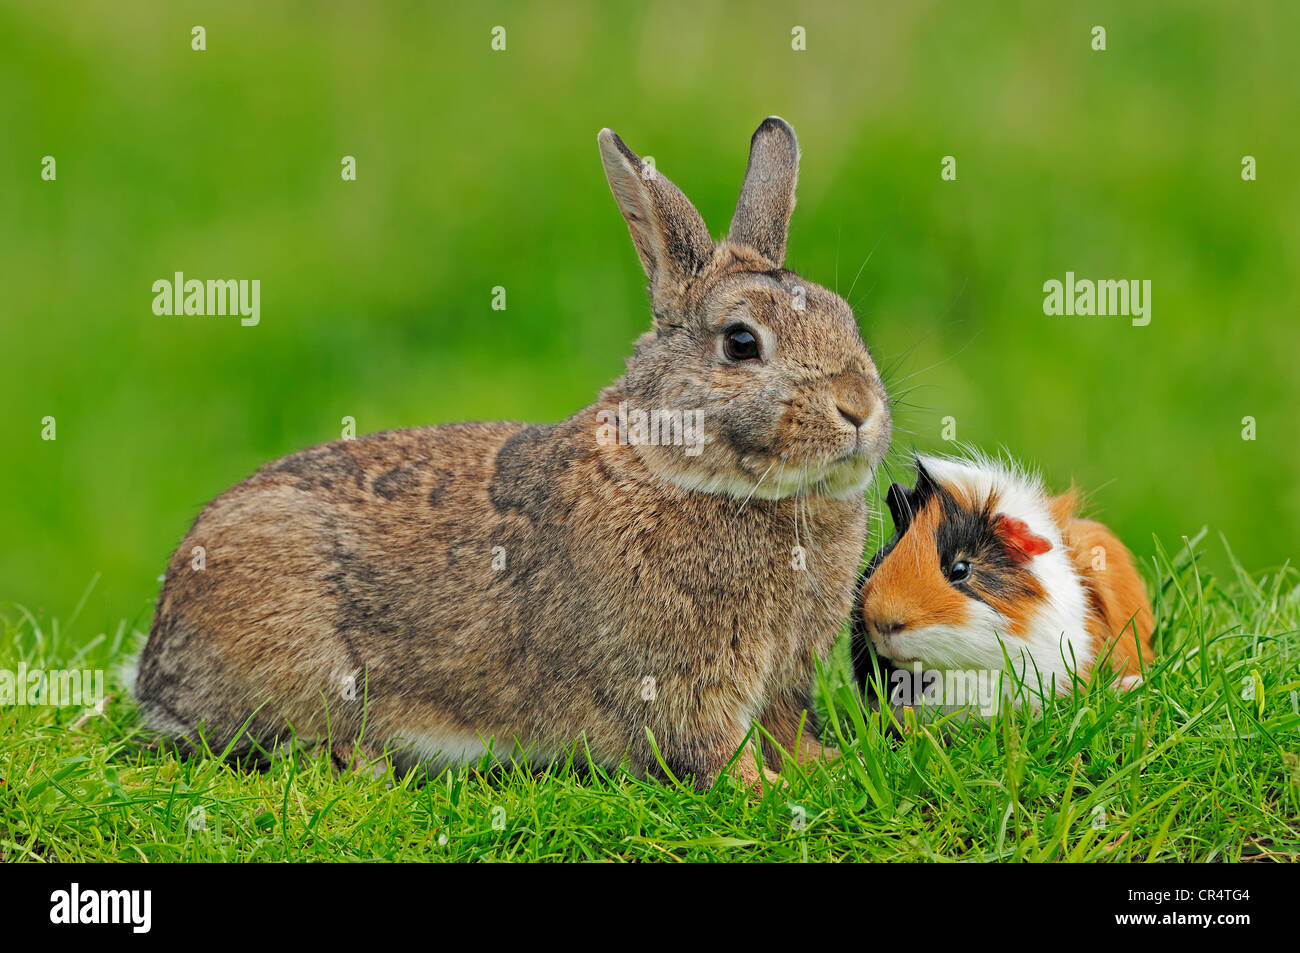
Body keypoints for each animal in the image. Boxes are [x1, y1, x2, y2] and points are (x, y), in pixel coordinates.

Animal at [135, 117, 893, 790]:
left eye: (846, 319)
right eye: (741, 343)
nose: (859, 408)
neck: (690, 470)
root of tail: (155, 669)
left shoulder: (784, 678)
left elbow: (788, 729)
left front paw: (824, 767)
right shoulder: (678, 677)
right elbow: (710, 749)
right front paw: (765, 788)